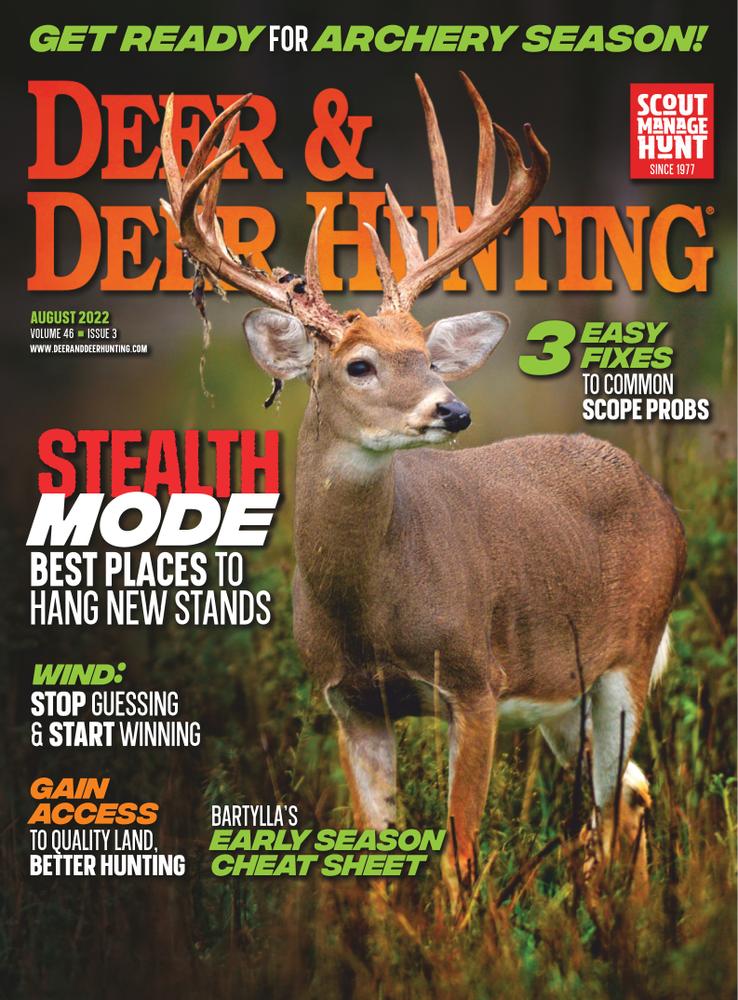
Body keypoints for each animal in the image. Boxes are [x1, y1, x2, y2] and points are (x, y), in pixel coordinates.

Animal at [160, 73, 685, 906]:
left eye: (429, 358)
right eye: (359, 364)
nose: (454, 409)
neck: (369, 610)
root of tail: (659, 496)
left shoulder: (474, 681)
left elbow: (457, 861)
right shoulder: (349, 701)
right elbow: (376, 869)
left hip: (627, 657)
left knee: (611, 799)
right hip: (565, 690)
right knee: (630, 792)